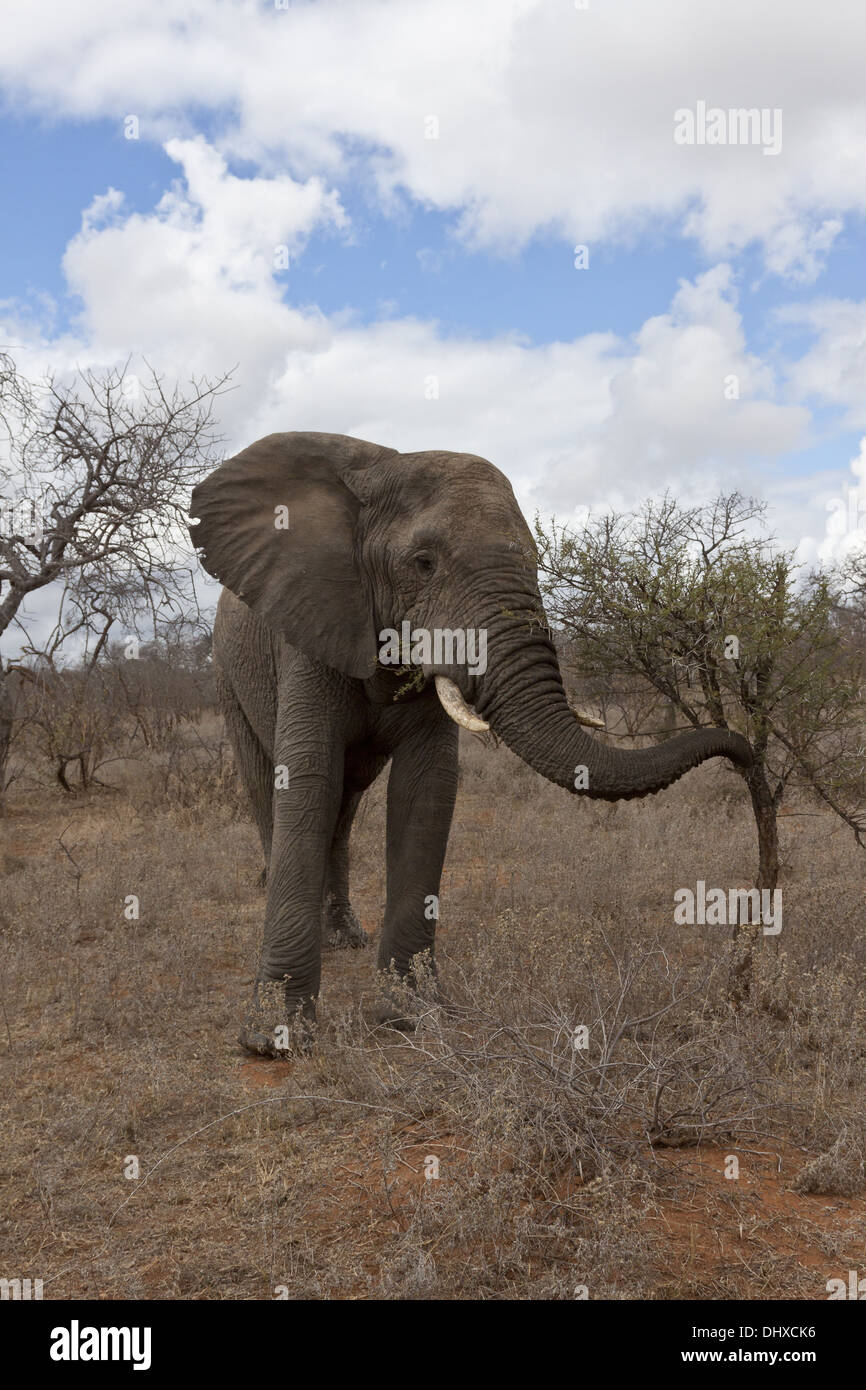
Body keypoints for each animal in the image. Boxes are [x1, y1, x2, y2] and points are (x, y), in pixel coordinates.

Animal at [188, 431, 752, 1053]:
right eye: (423, 564)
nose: (748, 753)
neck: (379, 465)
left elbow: (426, 786)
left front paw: (413, 1016)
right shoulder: (311, 627)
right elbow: (308, 775)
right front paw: (272, 1042)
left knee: (347, 800)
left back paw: (344, 940)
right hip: (229, 675)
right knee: (273, 786)